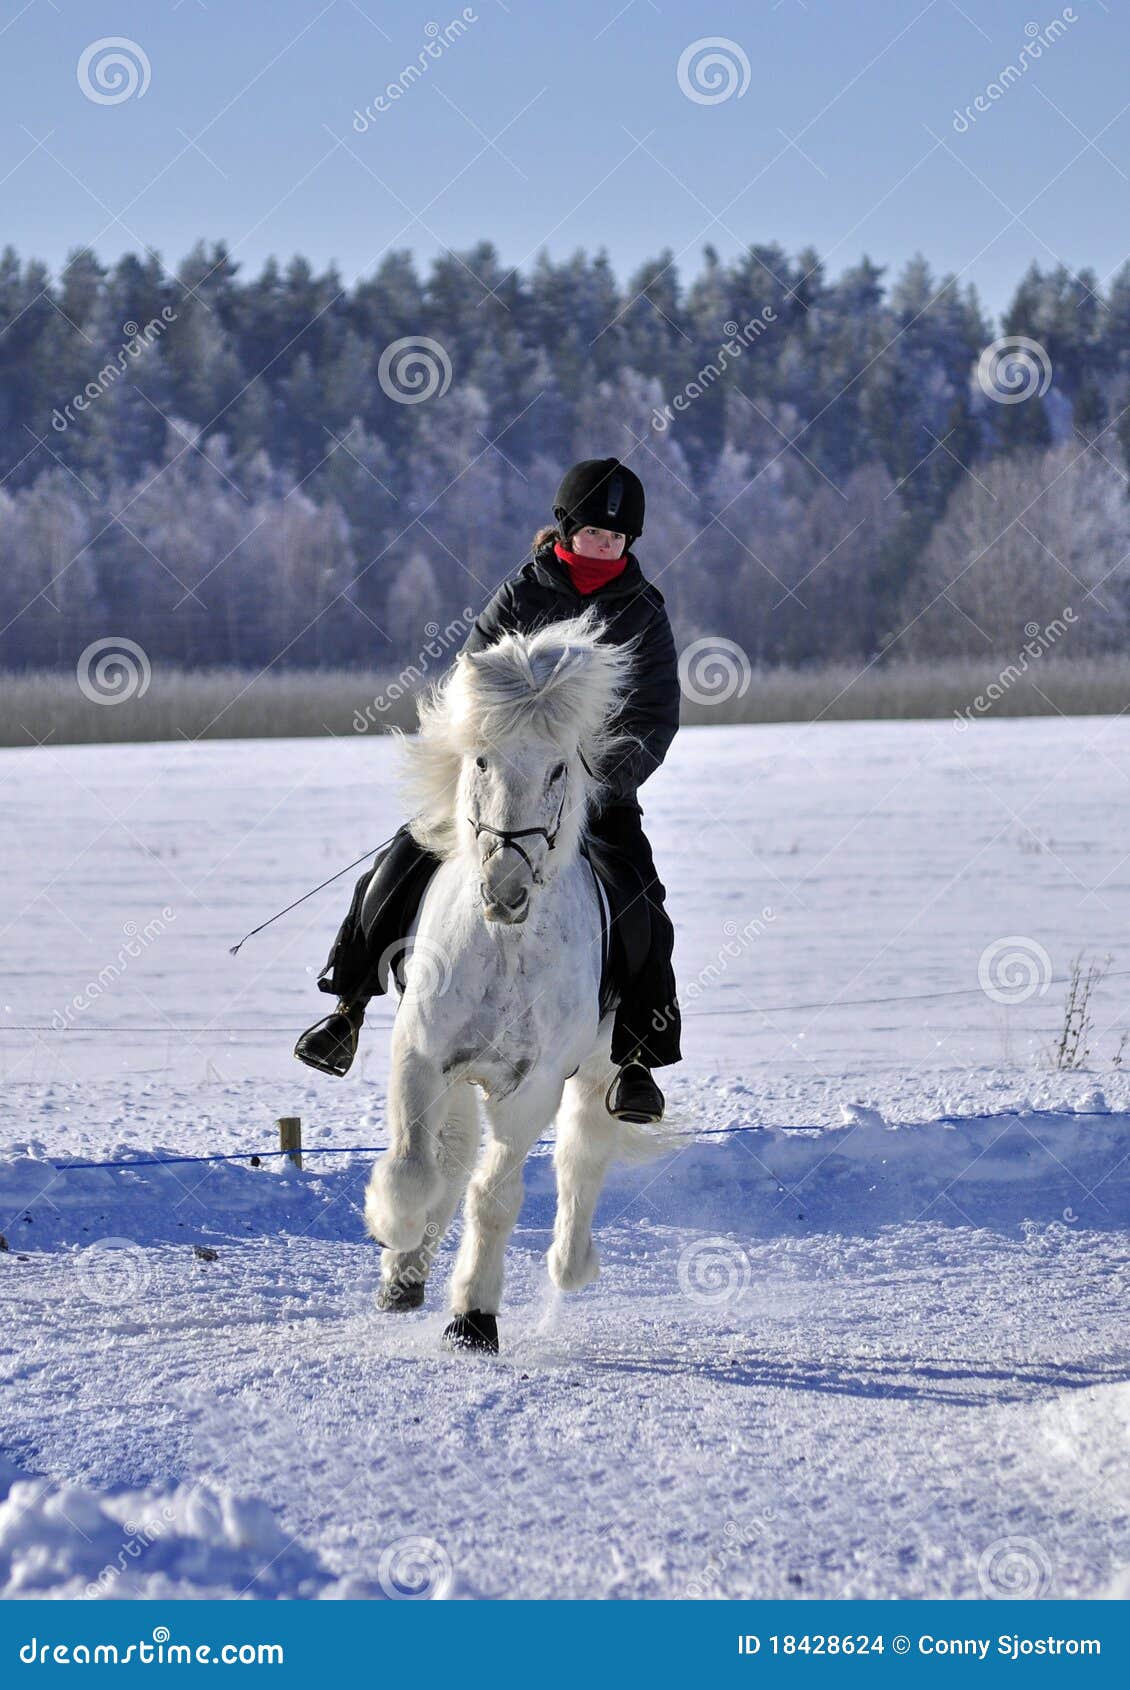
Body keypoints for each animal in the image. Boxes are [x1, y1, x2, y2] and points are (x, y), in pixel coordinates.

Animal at [362, 610, 672, 1353]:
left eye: (560, 766)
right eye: (481, 759)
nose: (504, 891)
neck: (503, 945)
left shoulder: (533, 1086)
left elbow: (495, 1197)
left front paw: (474, 1317)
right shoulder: (423, 1055)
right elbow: (414, 1167)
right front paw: (396, 1244)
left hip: (601, 1068)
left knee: (583, 1154)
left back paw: (570, 1265)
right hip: (460, 1073)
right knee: (448, 1156)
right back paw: (408, 1271)